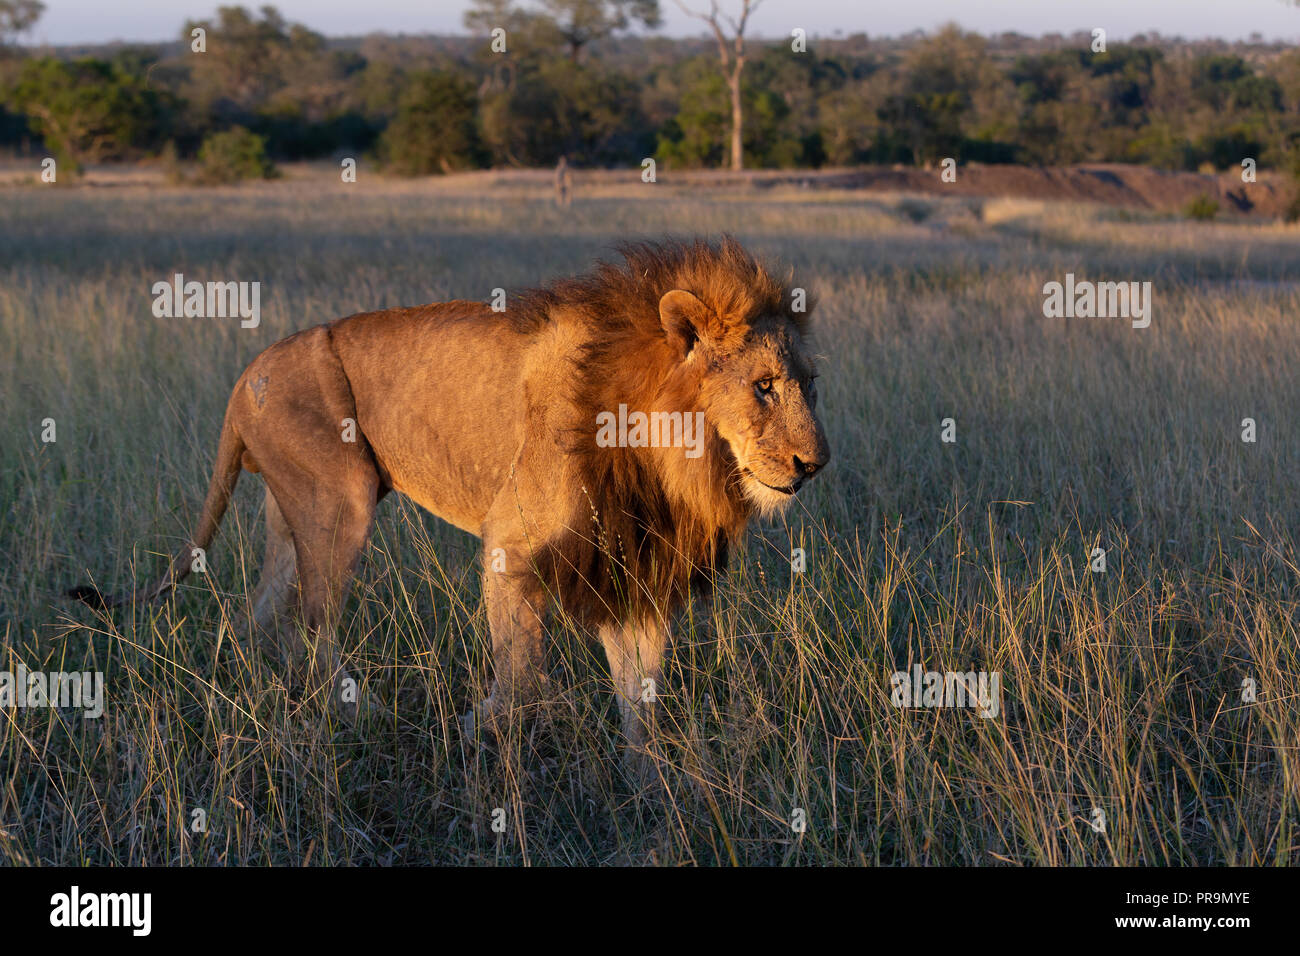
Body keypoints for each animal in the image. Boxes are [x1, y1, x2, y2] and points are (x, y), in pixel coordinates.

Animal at [71, 236, 830, 765]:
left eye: (810, 385)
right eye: (764, 386)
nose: (814, 464)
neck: (672, 458)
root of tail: (245, 375)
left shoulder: (628, 562)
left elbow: (641, 691)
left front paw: (648, 784)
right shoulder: (511, 546)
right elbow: (524, 683)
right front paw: (473, 726)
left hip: (289, 510)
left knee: (261, 613)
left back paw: (276, 698)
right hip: (341, 501)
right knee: (314, 624)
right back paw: (364, 715)